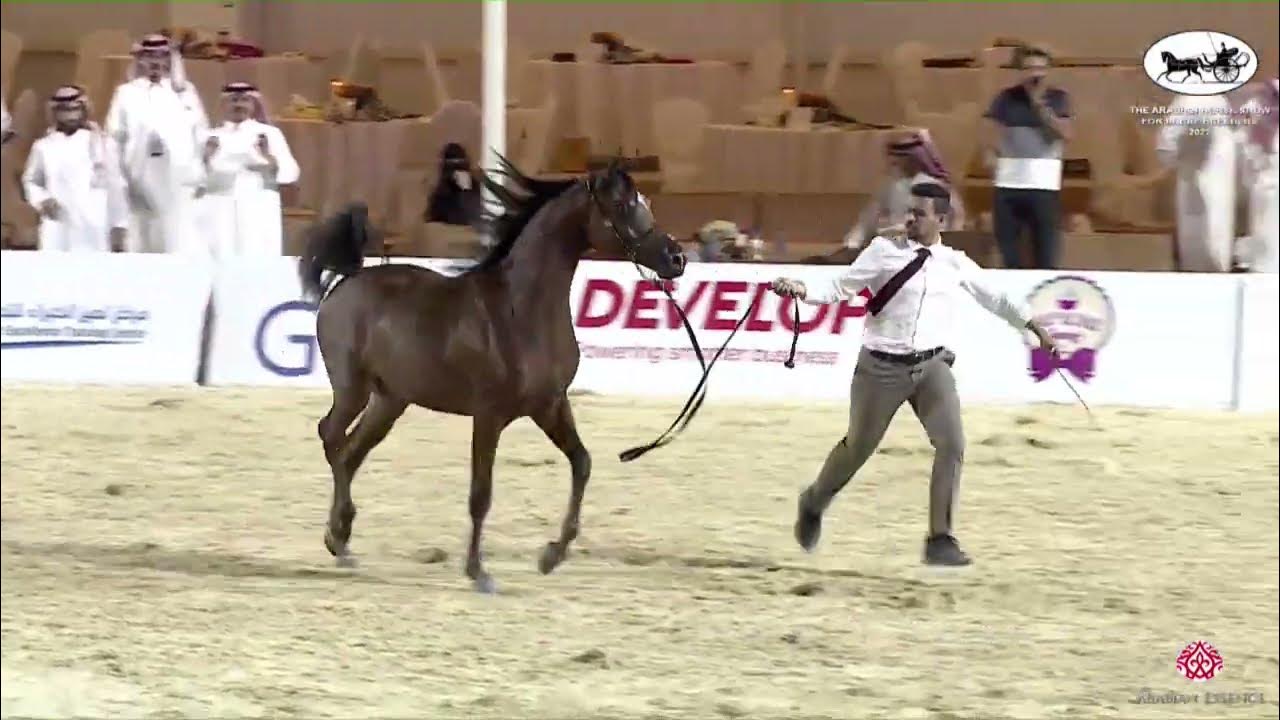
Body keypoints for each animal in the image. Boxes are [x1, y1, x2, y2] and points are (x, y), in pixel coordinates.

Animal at [297, 157, 687, 594]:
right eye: (621, 204)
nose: (676, 258)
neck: (521, 311)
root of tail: (347, 280)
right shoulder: (489, 415)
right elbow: (480, 494)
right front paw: (479, 573)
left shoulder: (550, 405)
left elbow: (582, 462)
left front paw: (551, 556)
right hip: (353, 389)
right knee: (331, 437)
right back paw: (340, 534)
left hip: (390, 401)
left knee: (350, 453)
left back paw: (342, 542)